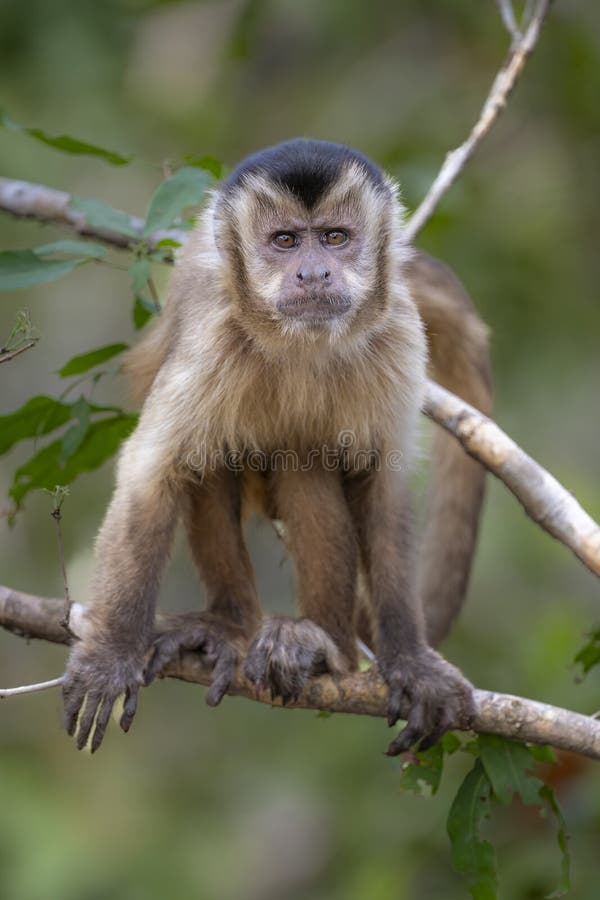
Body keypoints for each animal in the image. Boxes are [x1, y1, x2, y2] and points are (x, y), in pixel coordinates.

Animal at [62, 138, 492, 755]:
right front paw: (110, 653)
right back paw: (231, 626)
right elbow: (152, 473)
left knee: (306, 463)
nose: (313, 272)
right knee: (211, 460)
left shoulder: (399, 332)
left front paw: (410, 659)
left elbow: (380, 483)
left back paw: (323, 646)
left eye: (335, 237)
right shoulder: (212, 336)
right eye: (285, 241)